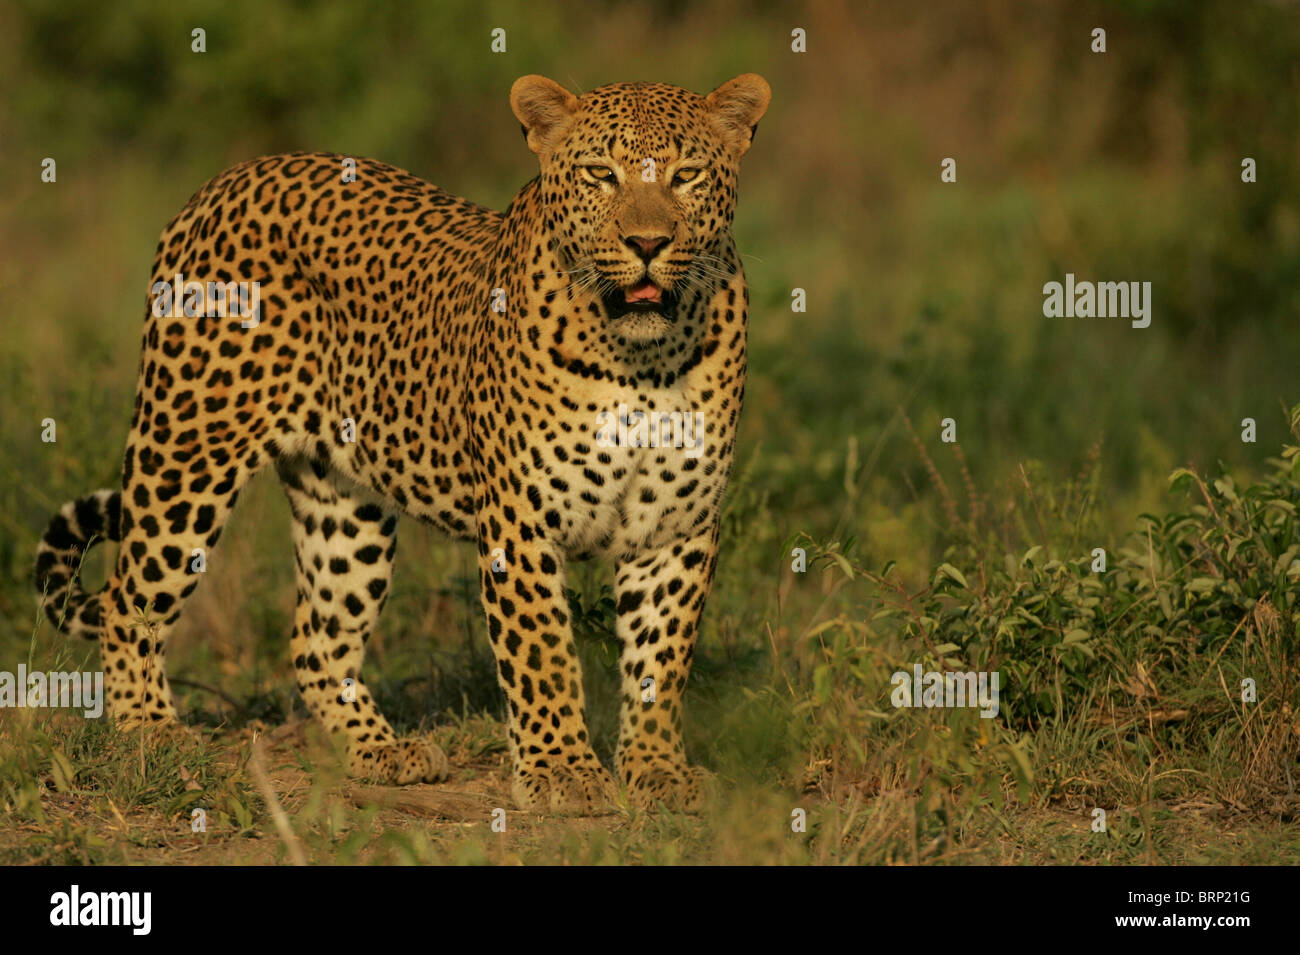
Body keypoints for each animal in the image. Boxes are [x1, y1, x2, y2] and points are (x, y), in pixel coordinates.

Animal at [32, 72, 770, 814]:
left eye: (687, 175)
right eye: (600, 174)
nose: (647, 243)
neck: (642, 360)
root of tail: (223, 180)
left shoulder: (676, 528)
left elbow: (660, 660)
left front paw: (658, 771)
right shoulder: (521, 524)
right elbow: (542, 654)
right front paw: (562, 770)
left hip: (344, 503)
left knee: (315, 641)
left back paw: (381, 751)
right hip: (189, 451)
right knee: (128, 600)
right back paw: (150, 734)